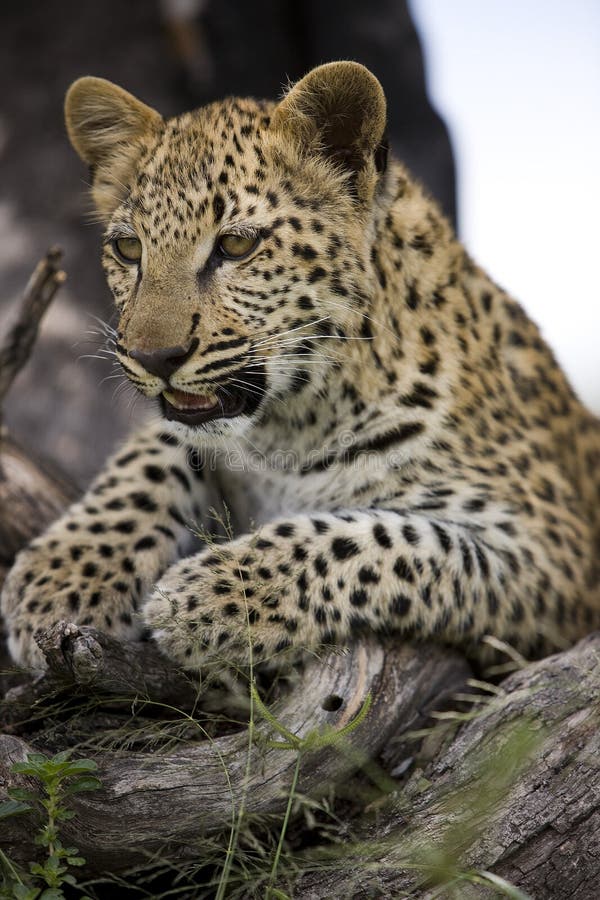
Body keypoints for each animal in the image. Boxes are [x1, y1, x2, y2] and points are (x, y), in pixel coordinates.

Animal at [3, 61, 600, 674]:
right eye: (128, 250)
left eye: (236, 245)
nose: (154, 358)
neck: (292, 426)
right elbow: (154, 451)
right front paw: (66, 576)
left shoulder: (551, 551)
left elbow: (374, 542)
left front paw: (214, 598)